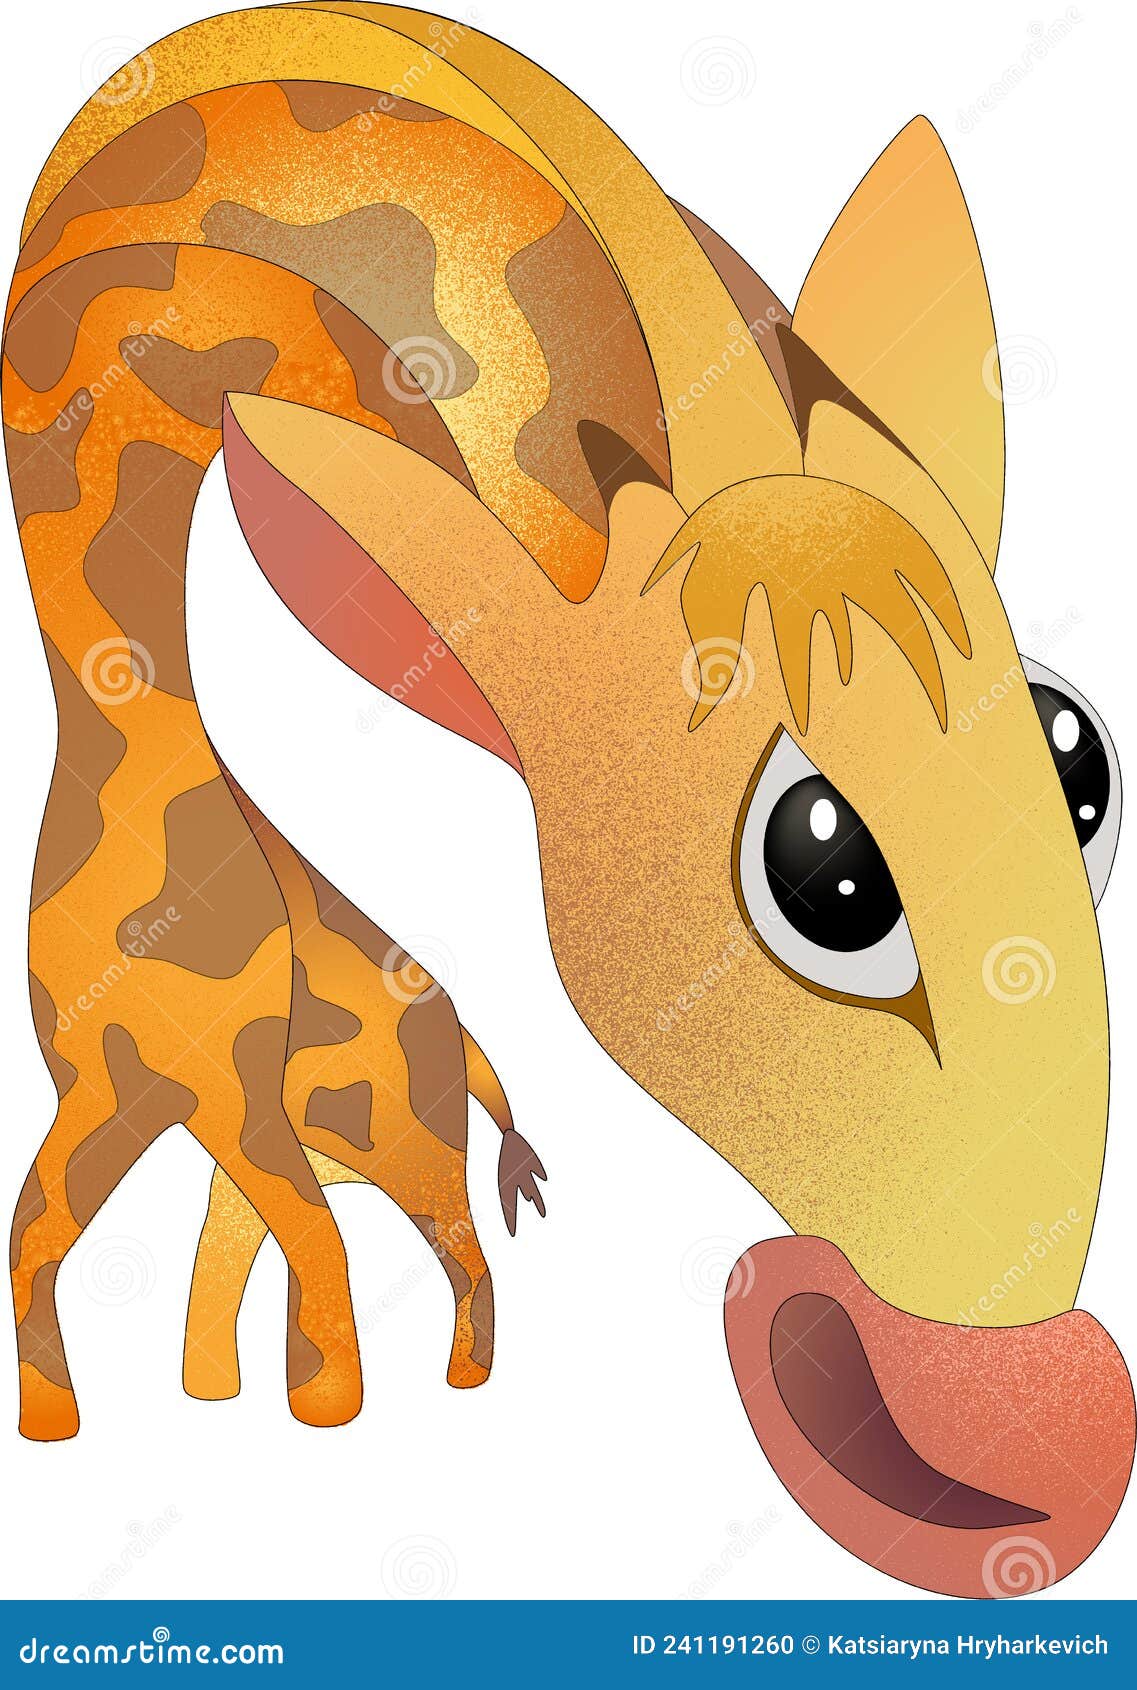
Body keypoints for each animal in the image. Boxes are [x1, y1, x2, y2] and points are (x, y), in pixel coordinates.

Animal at [4, 2, 1133, 1599]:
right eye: (823, 870)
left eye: (1077, 761)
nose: (1032, 1455)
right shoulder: (114, 1100)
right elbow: (49, 1233)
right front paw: (74, 1424)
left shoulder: (204, 1104)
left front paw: (309, 1410)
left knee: (418, 1245)